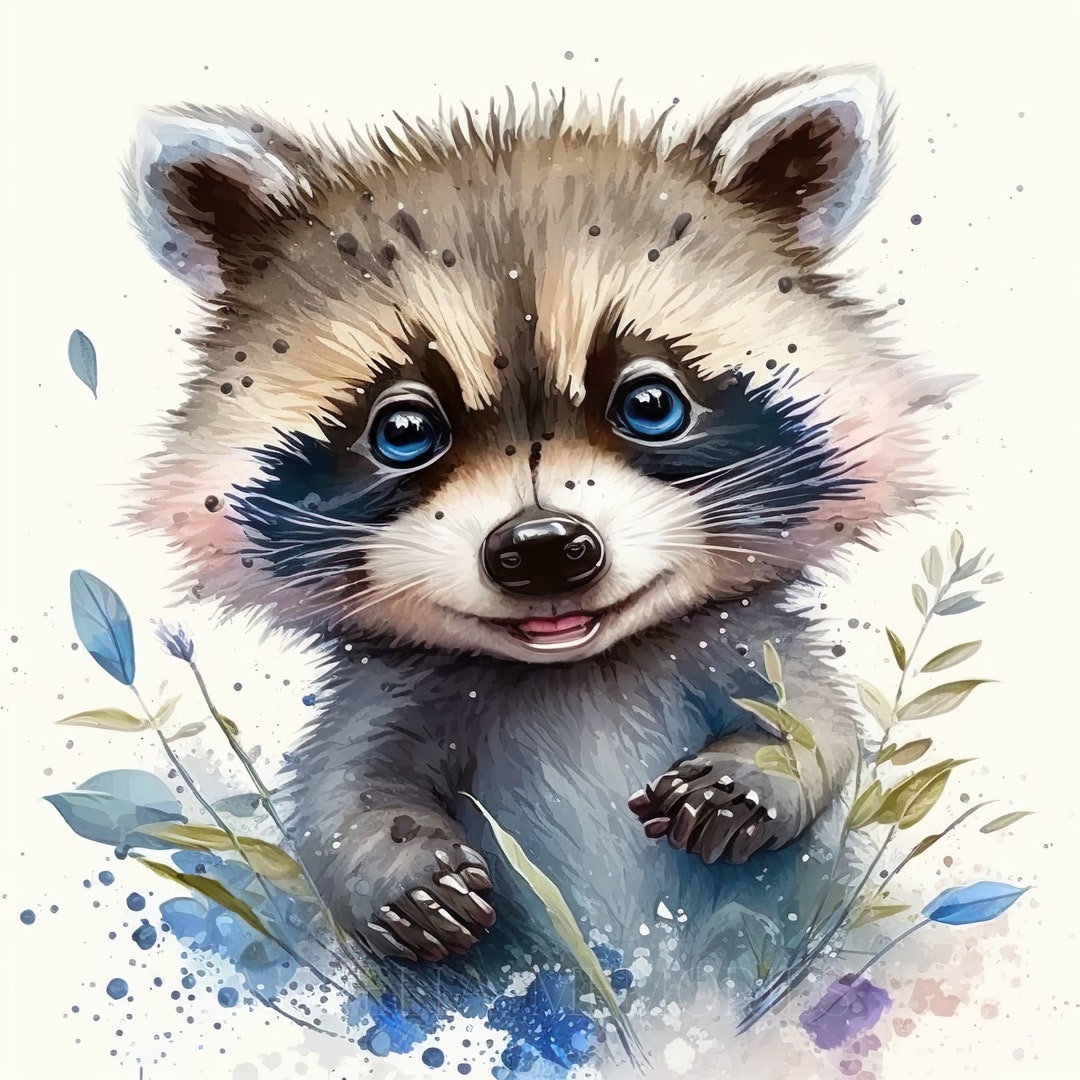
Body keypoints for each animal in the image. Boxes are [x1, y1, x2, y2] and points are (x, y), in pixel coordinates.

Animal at [128, 68, 948, 1006]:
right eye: (404, 428)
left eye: (651, 402)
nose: (547, 547)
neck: (572, 666)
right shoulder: (400, 689)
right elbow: (338, 792)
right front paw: (396, 865)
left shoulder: (734, 636)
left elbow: (818, 718)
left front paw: (762, 768)